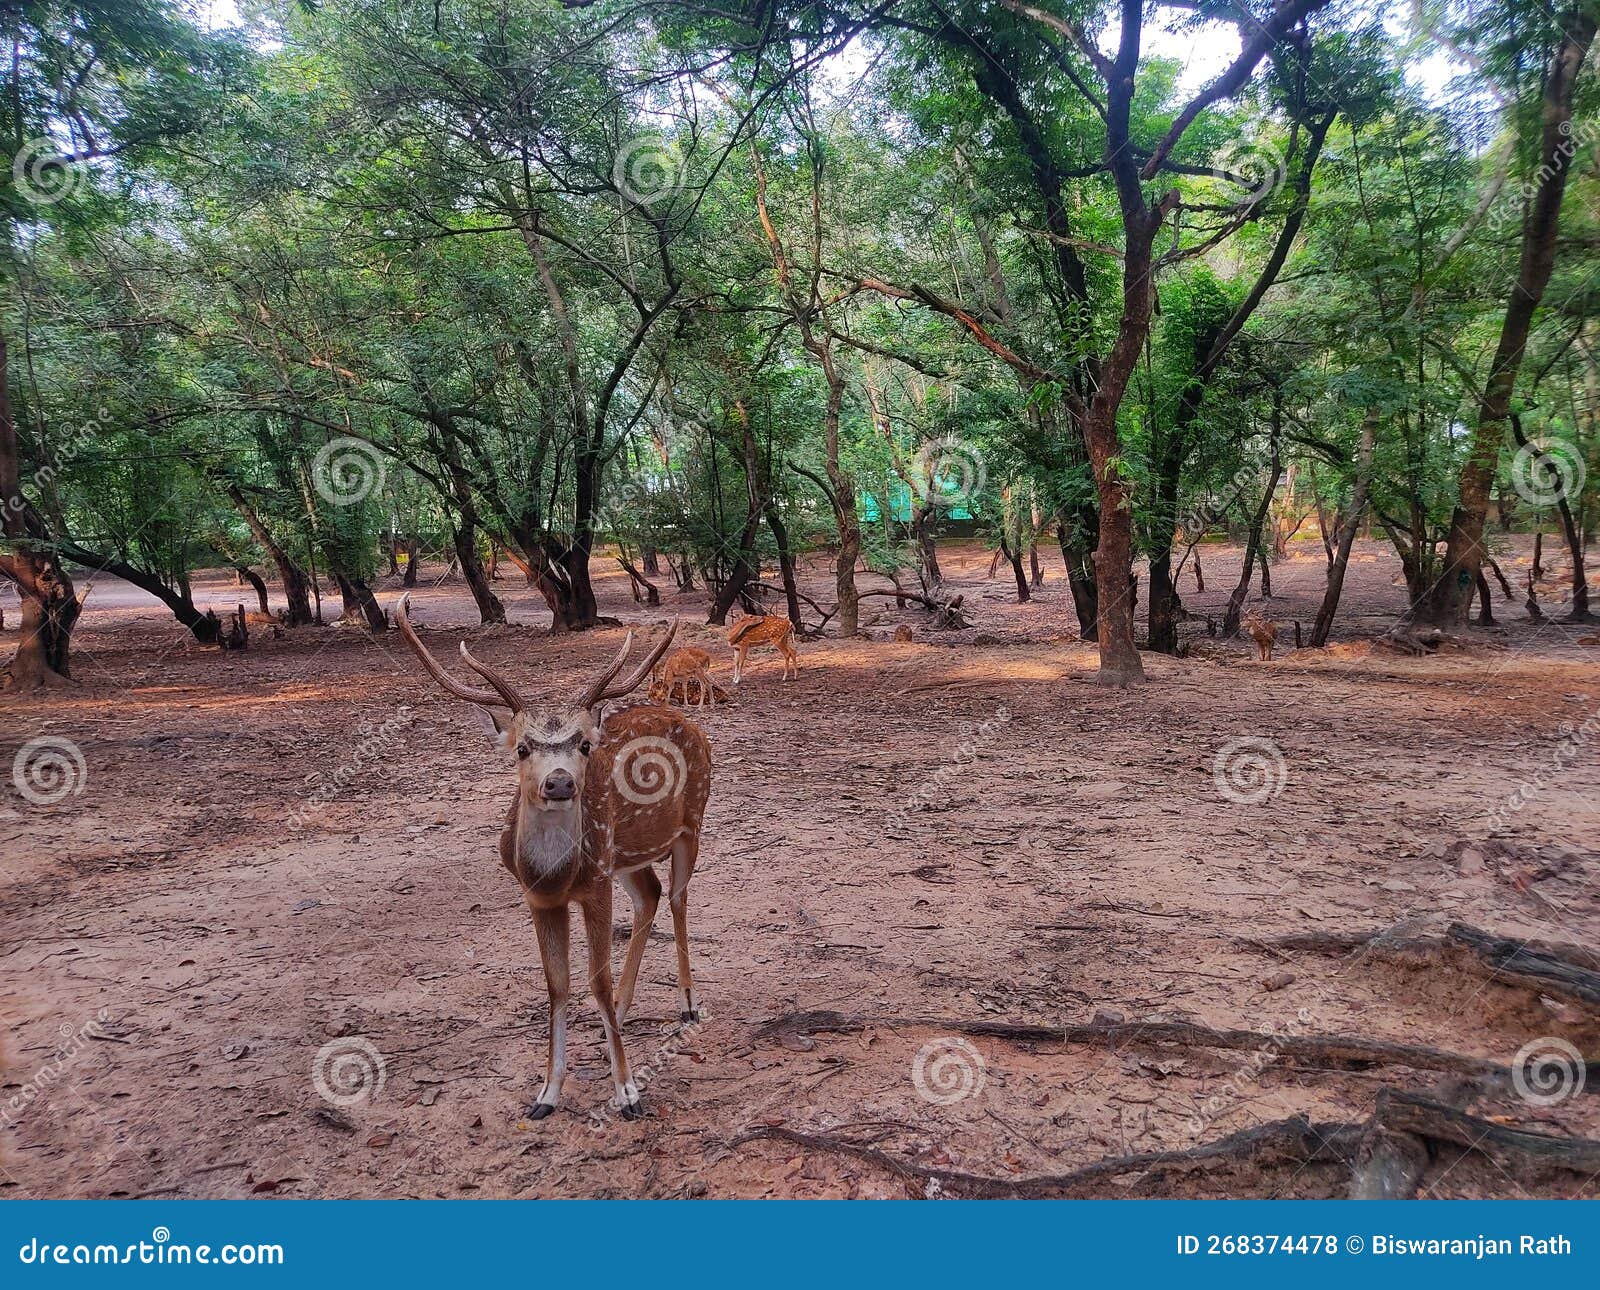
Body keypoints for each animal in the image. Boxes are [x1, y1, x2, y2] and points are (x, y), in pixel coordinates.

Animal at [394, 594, 712, 1123]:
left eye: (583, 745)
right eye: (523, 748)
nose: (560, 782)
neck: (555, 875)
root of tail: (691, 722)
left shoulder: (596, 882)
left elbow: (595, 980)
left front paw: (627, 1093)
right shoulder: (540, 897)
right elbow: (557, 985)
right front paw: (546, 1093)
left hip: (692, 820)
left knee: (679, 897)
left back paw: (687, 1001)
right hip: (626, 858)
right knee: (649, 895)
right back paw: (621, 1010)